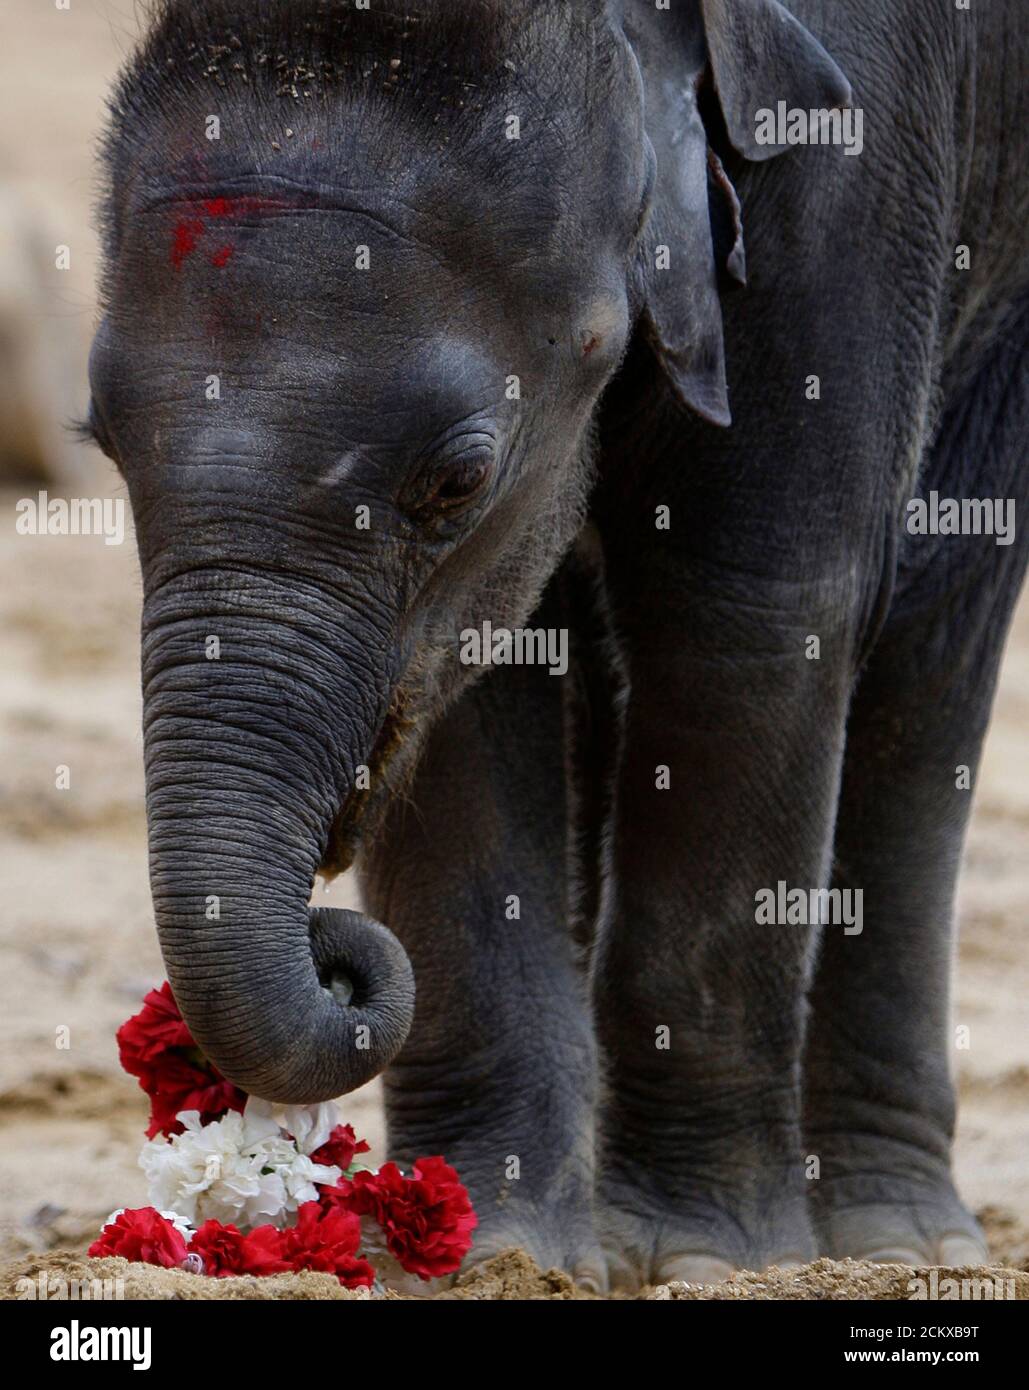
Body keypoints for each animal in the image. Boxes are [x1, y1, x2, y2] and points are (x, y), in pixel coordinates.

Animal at [83, 0, 1029, 1291]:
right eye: (99, 442)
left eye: (456, 480)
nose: (334, 939)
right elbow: (476, 682)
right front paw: (496, 1251)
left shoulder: (850, 177)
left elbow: (750, 608)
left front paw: (703, 1259)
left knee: (932, 633)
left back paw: (902, 1238)